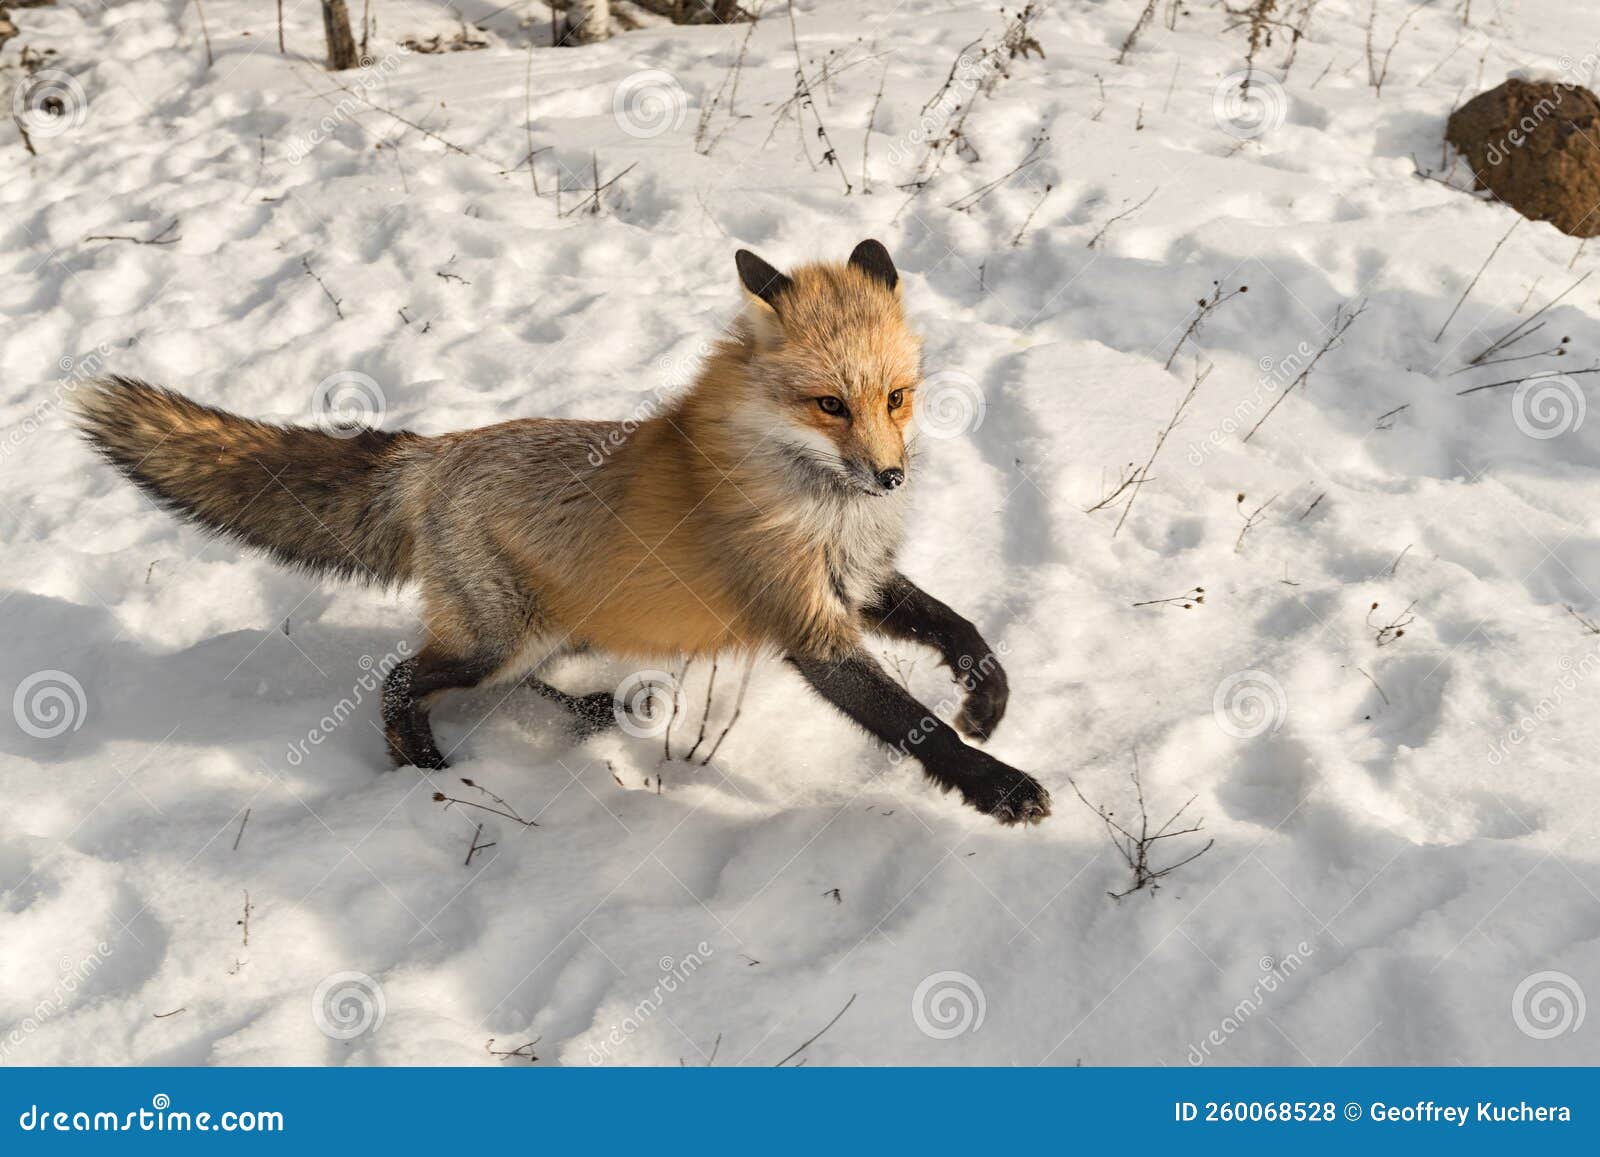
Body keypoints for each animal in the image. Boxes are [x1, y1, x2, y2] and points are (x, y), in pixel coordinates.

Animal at [72, 240, 1051, 825]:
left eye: (896, 397)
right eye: (828, 405)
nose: (892, 477)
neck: (819, 502)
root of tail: (433, 452)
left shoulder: (856, 580)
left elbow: (963, 629)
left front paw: (989, 700)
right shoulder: (804, 619)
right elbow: (913, 724)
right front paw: (996, 783)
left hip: (554, 630)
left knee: (504, 679)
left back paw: (584, 712)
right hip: (496, 641)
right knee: (397, 678)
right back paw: (418, 762)